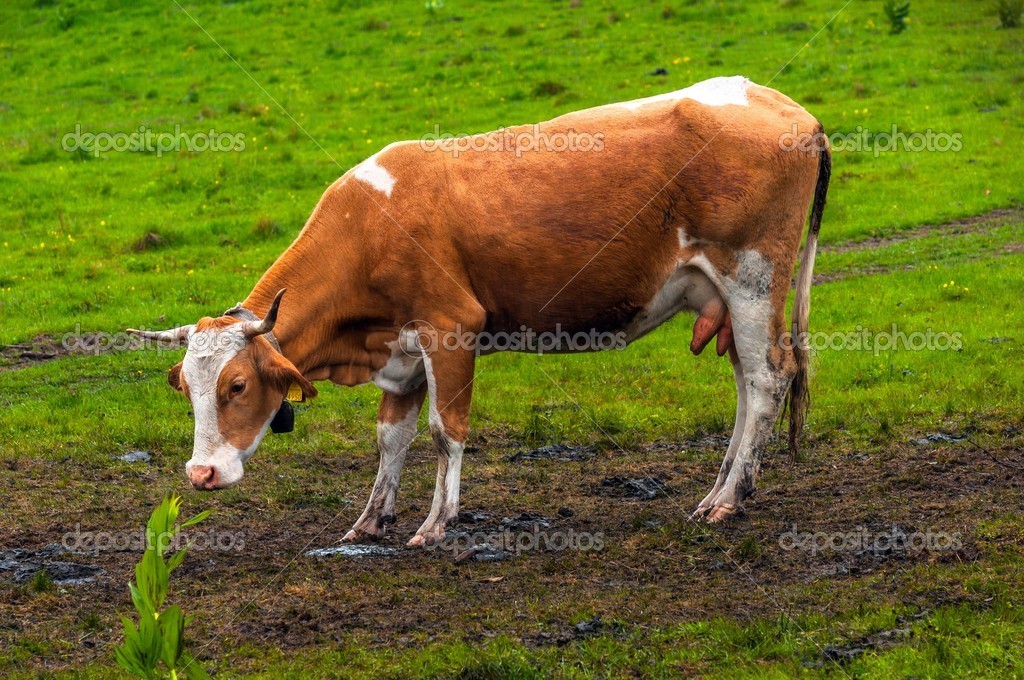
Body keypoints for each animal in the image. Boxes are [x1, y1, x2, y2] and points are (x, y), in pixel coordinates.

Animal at [129, 76, 830, 546]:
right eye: (185, 389)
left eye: (237, 386)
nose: (200, 474)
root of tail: (779, 102)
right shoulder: (401, 354)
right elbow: (391, 437)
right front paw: (371, 519)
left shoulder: (451, 329)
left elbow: (447, 431)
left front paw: (437, 522)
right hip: (725, 299)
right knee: (746, 388)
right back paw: (721, 488)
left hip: (752, 280)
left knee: (769, 379)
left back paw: (730, 499)